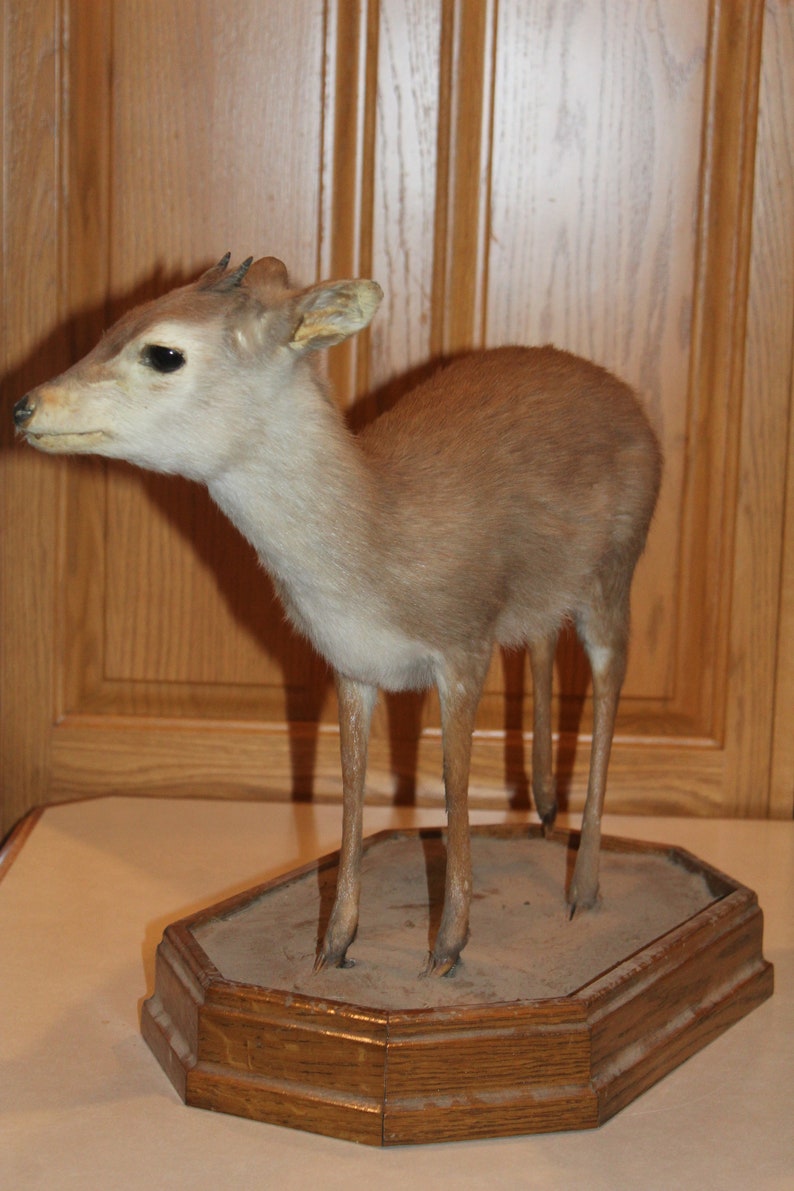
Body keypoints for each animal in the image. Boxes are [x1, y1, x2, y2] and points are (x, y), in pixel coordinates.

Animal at [13, 255, 662, 976]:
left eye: (163, 352)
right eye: (114, 321)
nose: (24, 405)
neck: (379, 530)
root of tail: (627, 401)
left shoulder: (463, 649)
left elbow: (453, 783)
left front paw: (447, 946)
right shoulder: (353, 665)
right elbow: (351, 786)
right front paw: (333, 945)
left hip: (614, 578)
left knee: (610, 682)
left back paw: (583, 889)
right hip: (547, 597)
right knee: (546, 647)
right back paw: (545, 813)